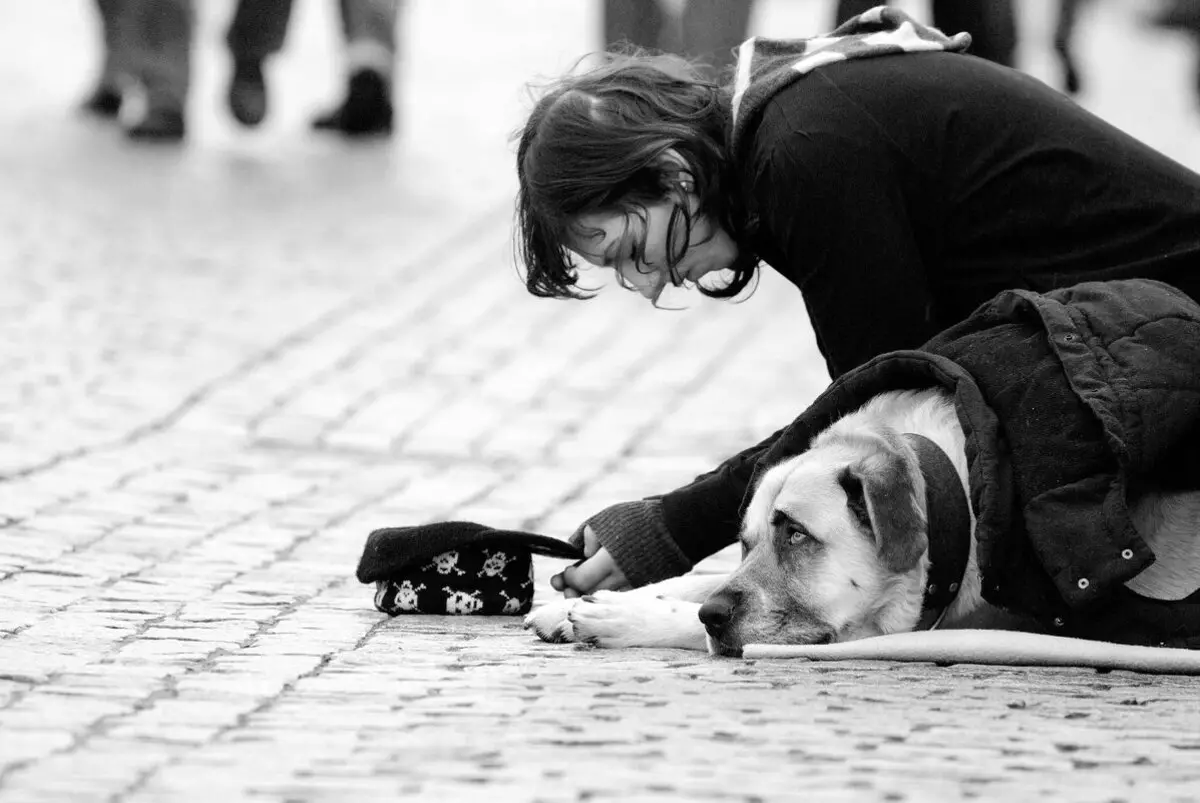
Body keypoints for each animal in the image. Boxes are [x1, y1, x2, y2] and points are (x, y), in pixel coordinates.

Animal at [530, 384, 1200, 662]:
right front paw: (569, 606)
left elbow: (695, 617)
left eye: (796, 534)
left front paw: (619, 619)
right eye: (746, 542)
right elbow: (696, 582)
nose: (717, 616)